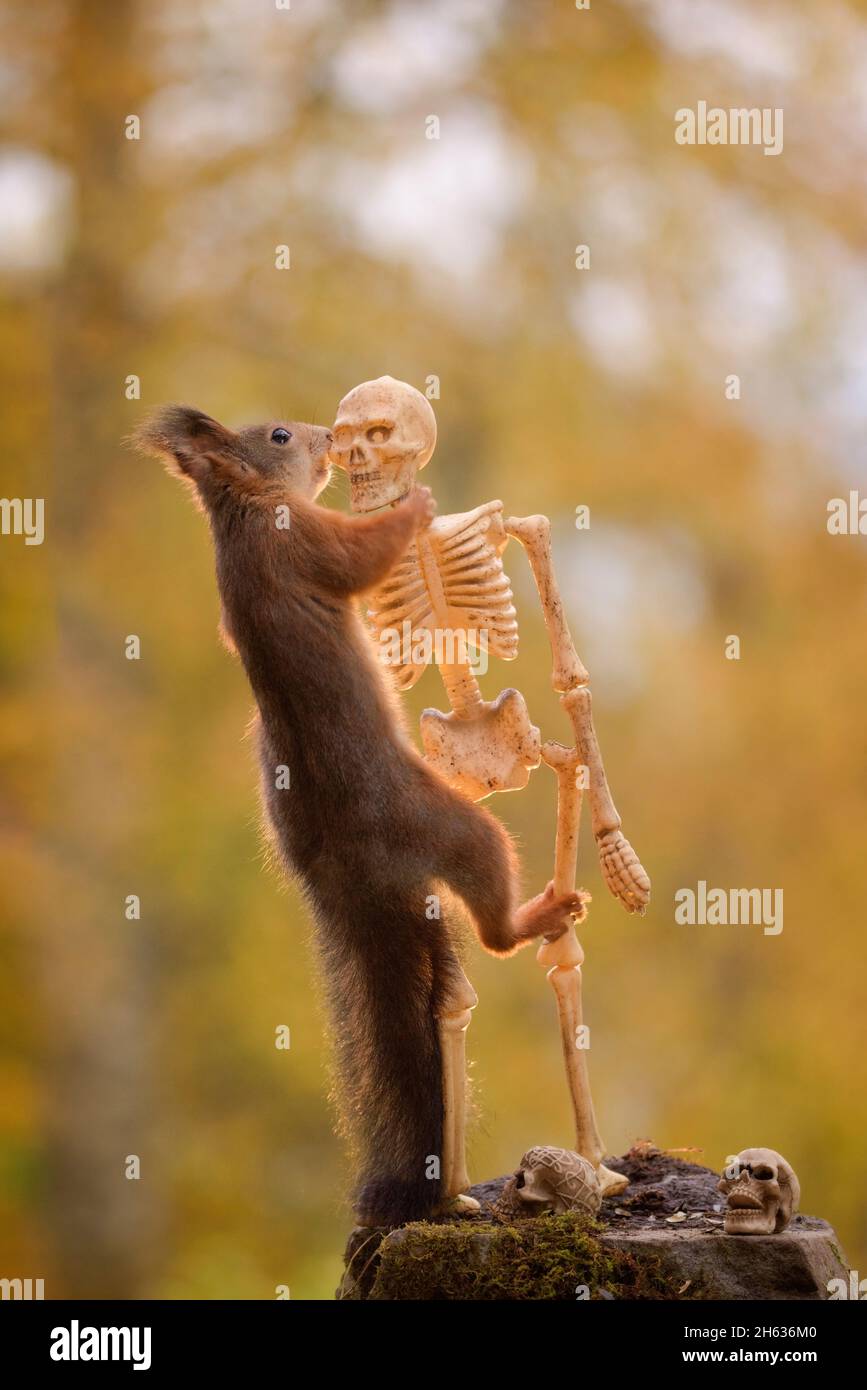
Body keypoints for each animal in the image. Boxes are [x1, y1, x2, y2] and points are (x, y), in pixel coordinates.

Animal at [134, 405, 587, 1226]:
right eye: (280, 438)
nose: (326, 437)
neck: (243, 512)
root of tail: (356, 875)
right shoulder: (303, 541)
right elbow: (363, 559)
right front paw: (416, 508)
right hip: (456, 827)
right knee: (495, 927)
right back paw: (541, 912)